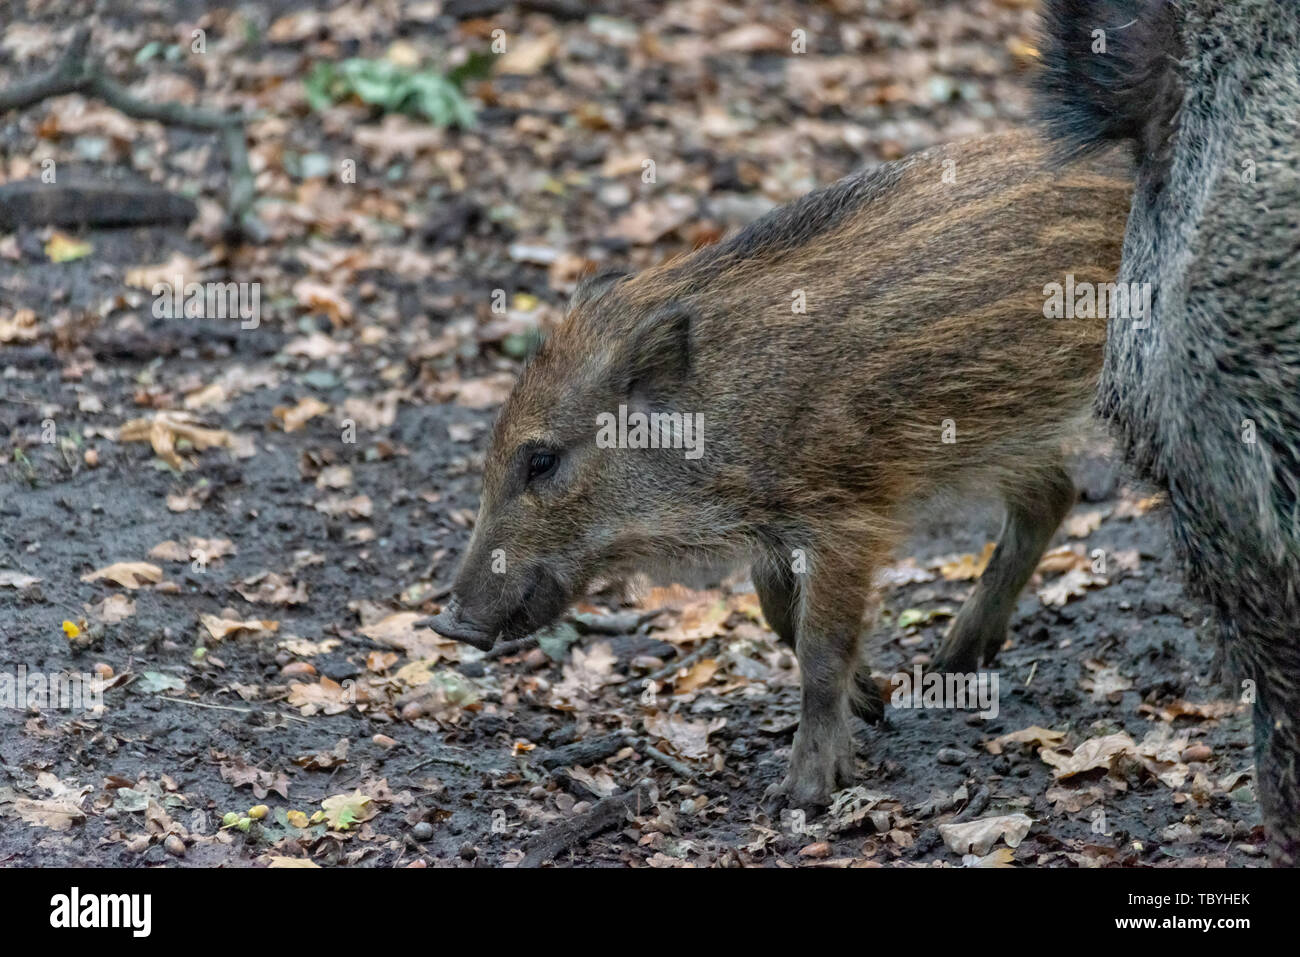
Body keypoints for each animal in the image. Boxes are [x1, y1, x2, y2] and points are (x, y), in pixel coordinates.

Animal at [432, 129, 1132, 808]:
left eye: (542, 459)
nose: (448, 621)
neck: (725, 420)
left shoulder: (846, 516)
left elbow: (820, 647)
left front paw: (804, 792)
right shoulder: (778, 528)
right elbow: (778, 615)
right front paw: (873, 704)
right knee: (1054, 493)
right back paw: (949, 665)